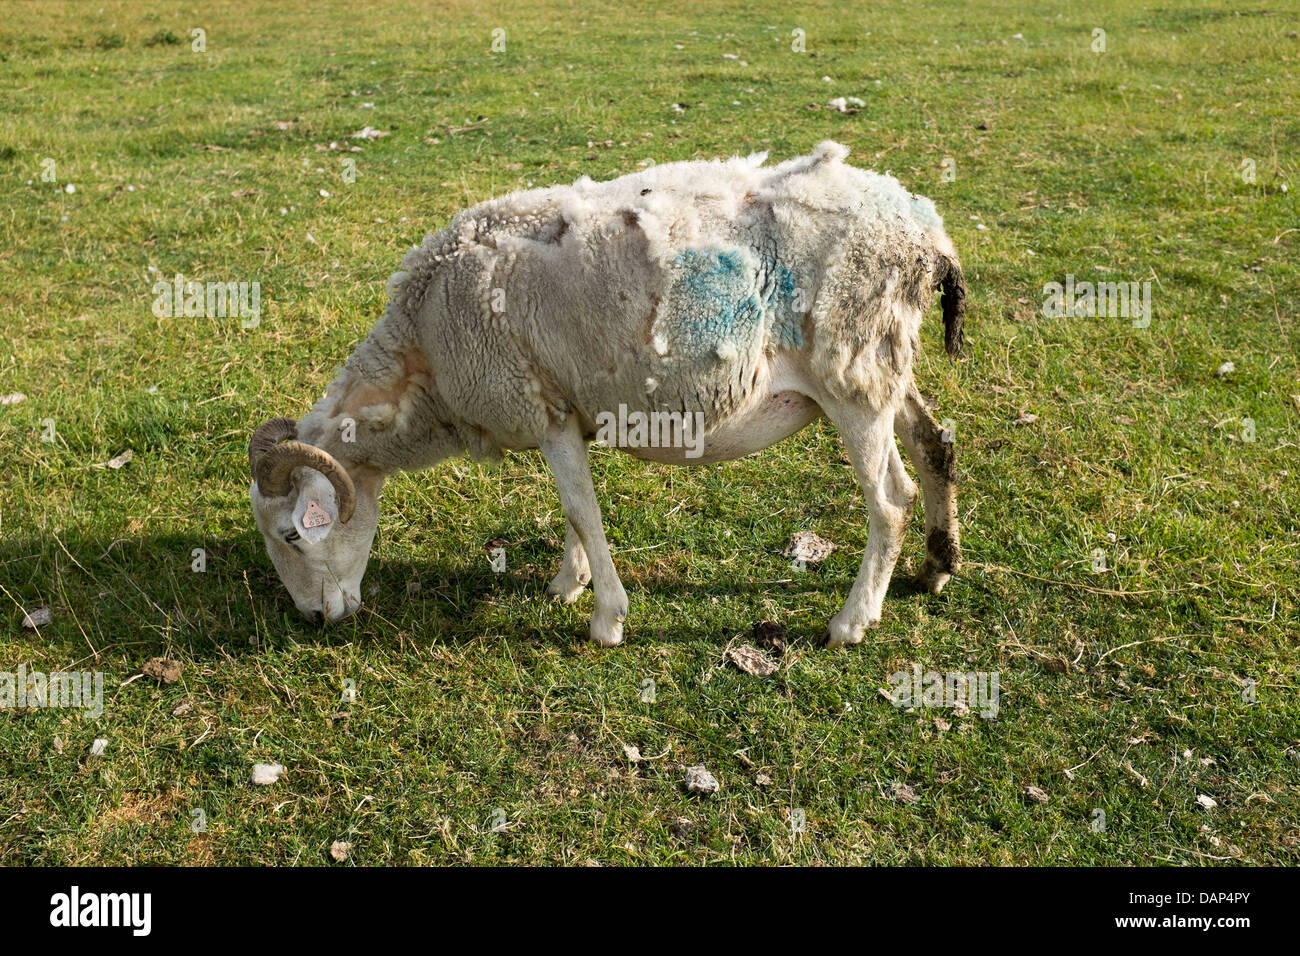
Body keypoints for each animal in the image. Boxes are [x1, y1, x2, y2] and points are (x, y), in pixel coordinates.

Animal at [249, 140, 966, 646]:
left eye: (289, 535)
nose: (315, 619)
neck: (425, 357)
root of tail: (926, 228)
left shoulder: (540, 411)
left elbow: (583, 512)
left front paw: (606, 620)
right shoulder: (563, 410)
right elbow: (574, 510)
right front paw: (569, 582)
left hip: (852, 377)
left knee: (890, 500)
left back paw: (852, 621)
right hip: (887, 362)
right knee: (935, 446)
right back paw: (937, 566)